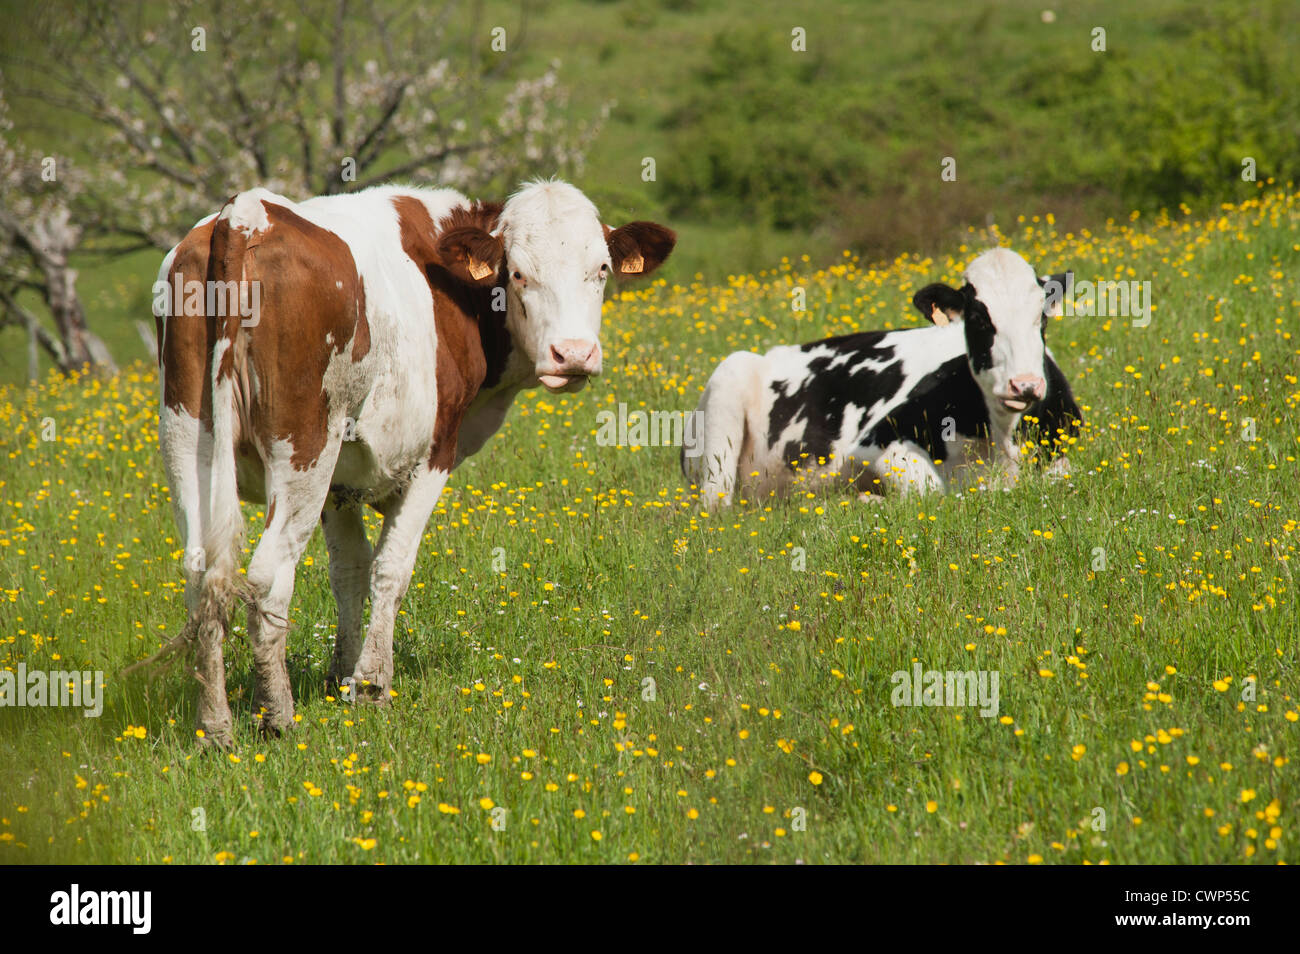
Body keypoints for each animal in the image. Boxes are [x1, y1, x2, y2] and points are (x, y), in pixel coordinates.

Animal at [149, 180, 675, 746]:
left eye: (601, 268)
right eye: (517, 273)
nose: (573, 355)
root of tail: (246, 213)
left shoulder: (341, 480)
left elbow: (349, 570)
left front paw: (341, 675)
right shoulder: (432, 455)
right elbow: (391, 567)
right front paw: (371, 685)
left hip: (189, 436)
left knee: (202, 576)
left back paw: (214, 727)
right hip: (303, 450)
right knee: (268, 578)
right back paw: (277, 716)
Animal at [682, 248, 1082, 510]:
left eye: (1041, 319)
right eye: (979, 318)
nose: (1025, 385)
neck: (1001, 438)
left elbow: (1059, 477)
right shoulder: (874, 447)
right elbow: (930, 490)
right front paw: (864, 498)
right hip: (724, 403)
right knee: (717, 505)